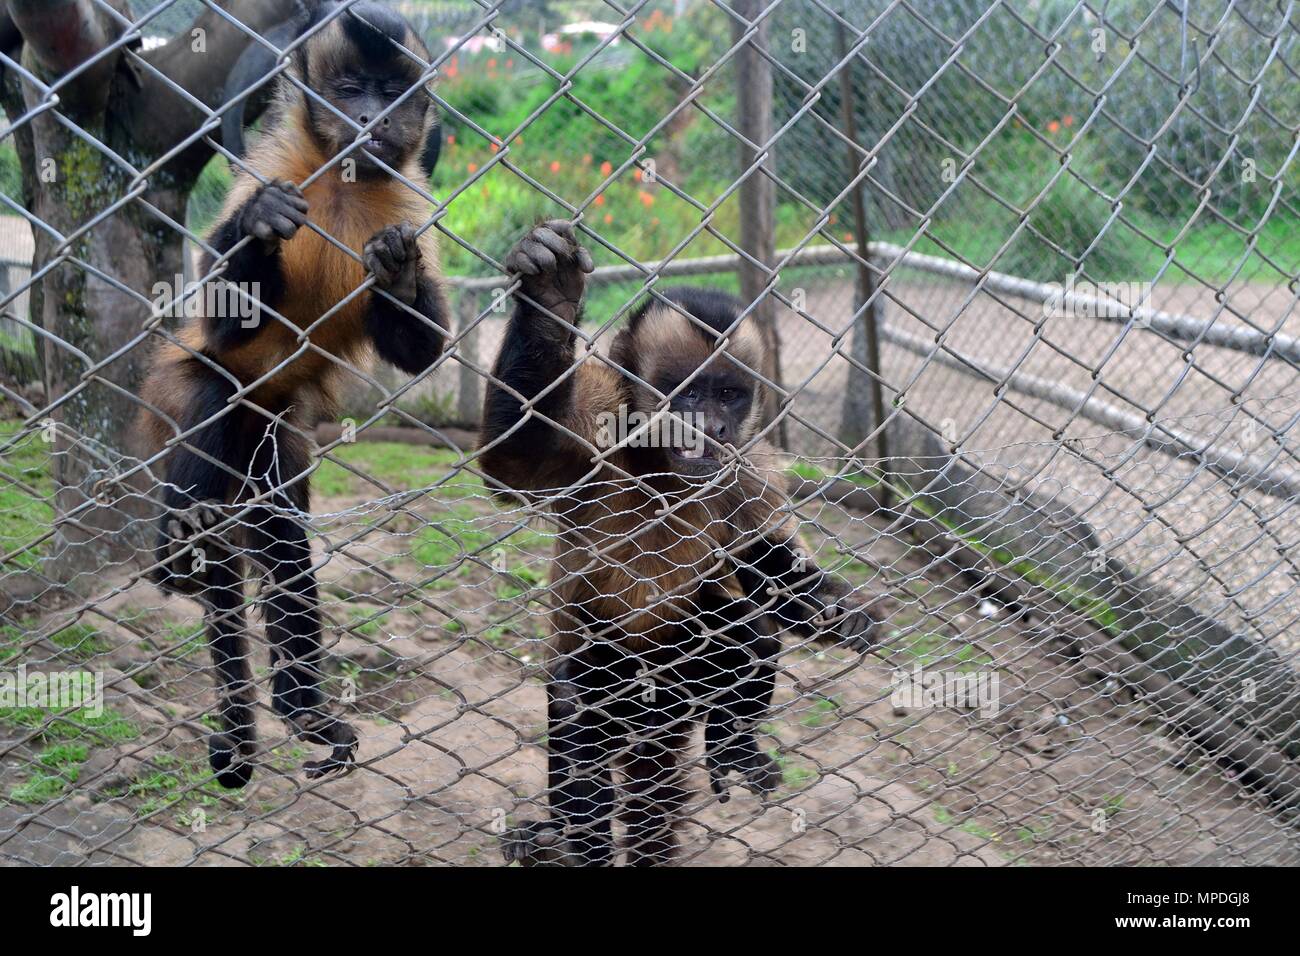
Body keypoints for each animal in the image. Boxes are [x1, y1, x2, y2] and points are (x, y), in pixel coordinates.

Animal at [135, 2, 449, 789]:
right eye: (349, 89)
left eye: (390, 92)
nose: (371, 116)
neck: (342, 181)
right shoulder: (267, 169)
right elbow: (225, 308)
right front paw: (258, 230)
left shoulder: (412, 205)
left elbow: (422, 351)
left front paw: (398, 276)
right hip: (173, 388)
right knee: (211, 392)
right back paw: (179, 555)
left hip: (276, 430)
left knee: (281, 530)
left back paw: (303, 709)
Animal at [479, 221, 876, 866]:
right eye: (687, 394)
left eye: (729, 395)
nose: (711, 428)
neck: (661, 469)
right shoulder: (601, 415)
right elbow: (516, 460)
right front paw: (550, 300)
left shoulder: (749, 465)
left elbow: (762, 559)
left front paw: (837, 606)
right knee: (577, 697)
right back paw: (571, 839)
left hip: (679, 695)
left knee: (741, 628)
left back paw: (731, 743)